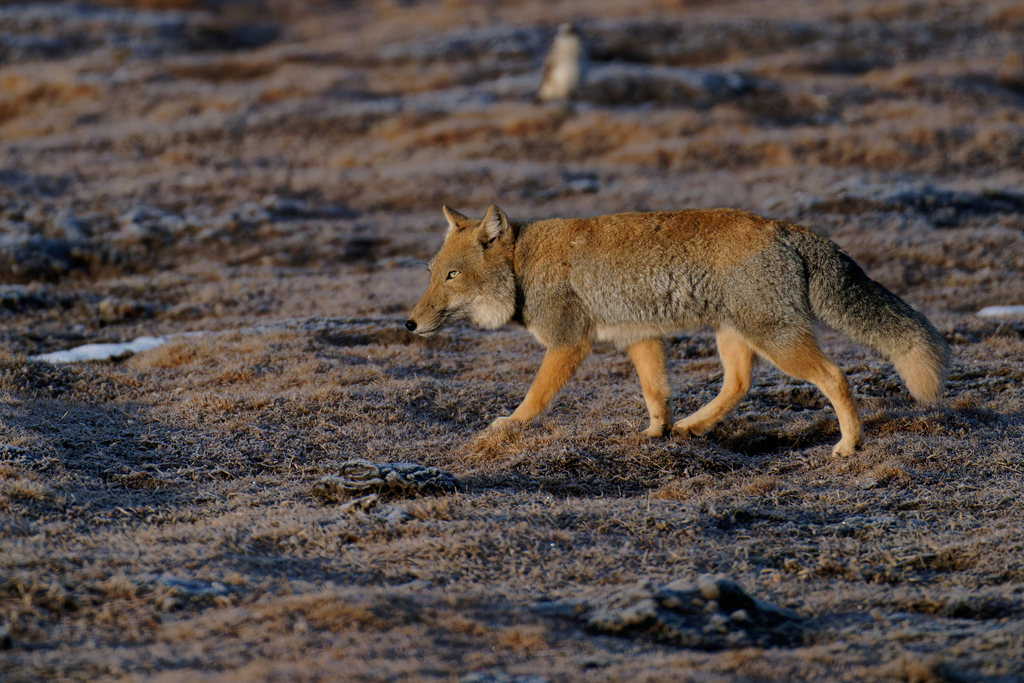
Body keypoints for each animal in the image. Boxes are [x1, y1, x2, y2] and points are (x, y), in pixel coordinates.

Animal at [405, 205, 949, 456]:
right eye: (430, 272)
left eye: (451, 276)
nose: (409, 323)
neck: (523, 265)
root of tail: (783, 226)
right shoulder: (640, 337)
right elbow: (656, 393)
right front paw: (656, 432)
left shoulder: (568, 344)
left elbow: (535, 397)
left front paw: (509, 426)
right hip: (736, 336)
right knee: (738, 384)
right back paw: (693, 426)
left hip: (776, 342)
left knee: (835, 377)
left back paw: (849, 445)